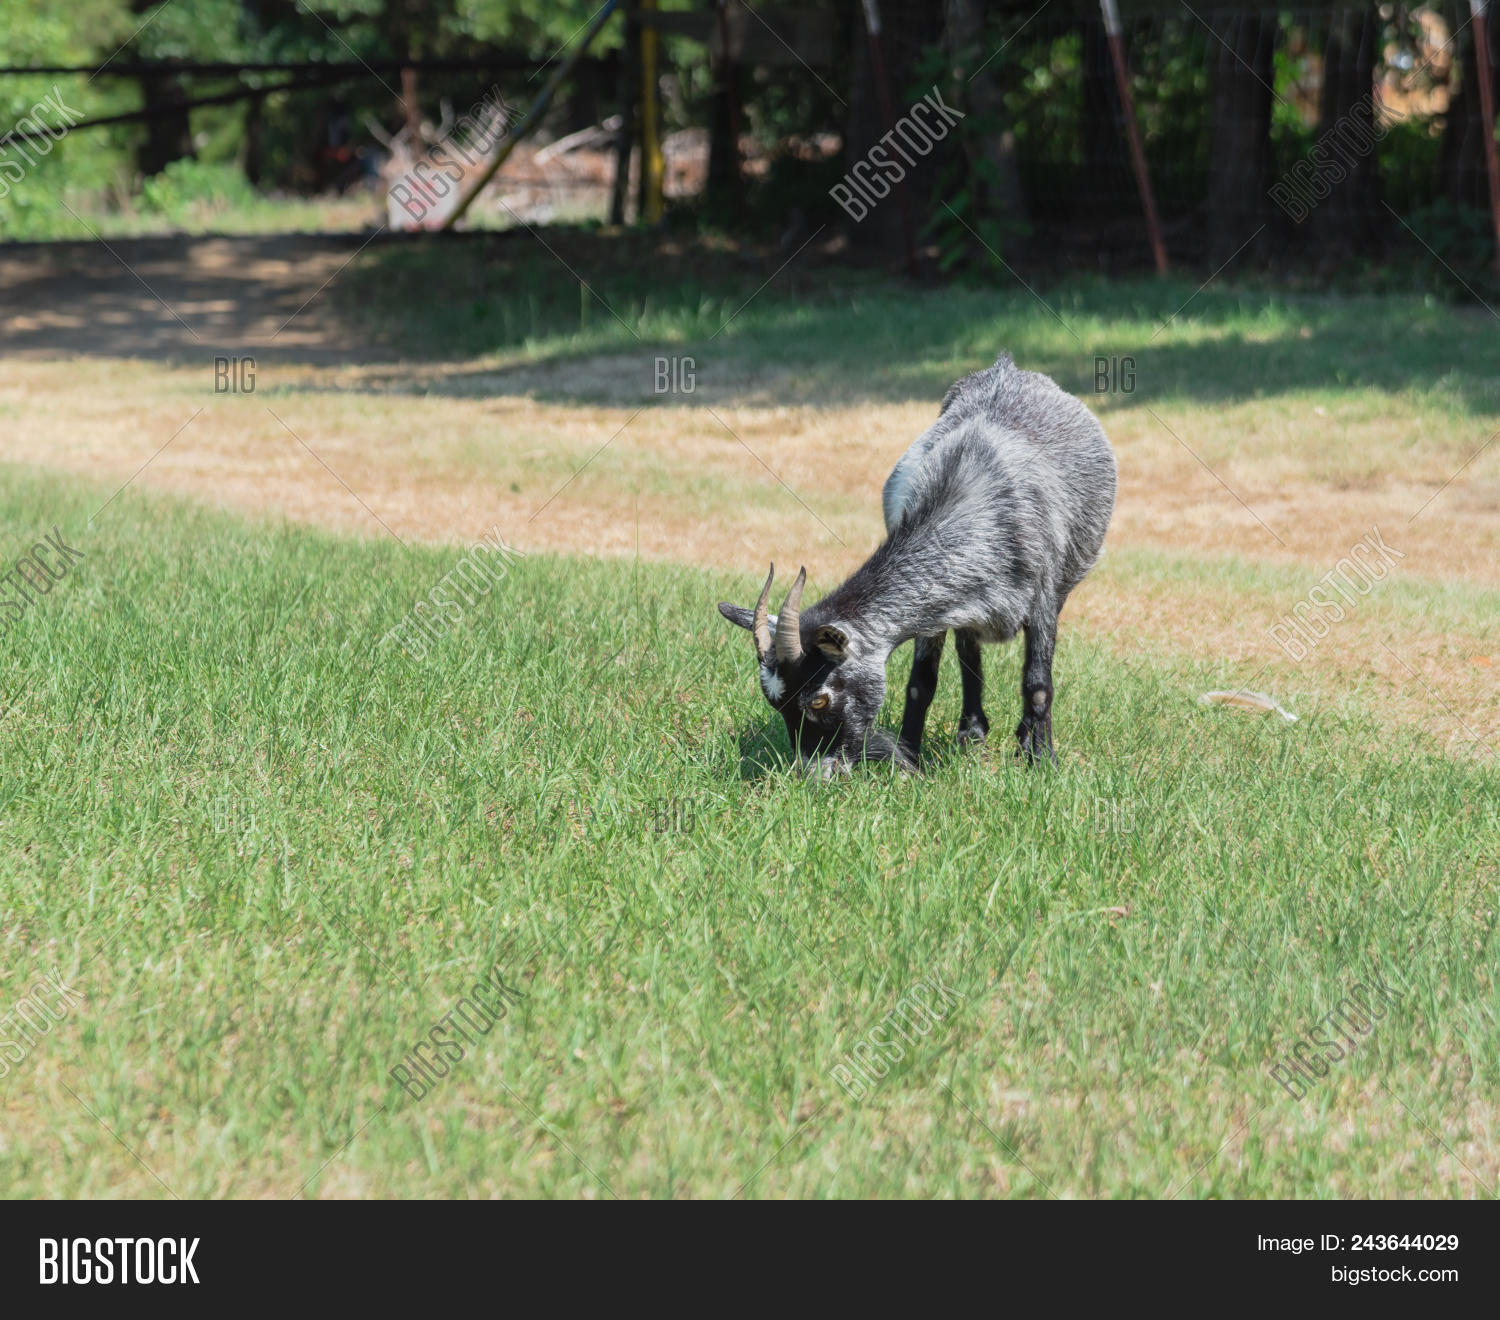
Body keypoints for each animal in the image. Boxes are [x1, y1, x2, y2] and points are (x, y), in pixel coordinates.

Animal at [718, 354, 1116, 773]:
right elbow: (920, 683)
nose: (814, 773)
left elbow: (1037, 684)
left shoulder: (1043, 598)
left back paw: (1021, 737)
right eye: (775, 704)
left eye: (819, 699)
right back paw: (971, 731)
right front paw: (908, 759)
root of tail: (1006, 366)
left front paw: (1042, 762)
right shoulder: (939, 611)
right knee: (968, 650)